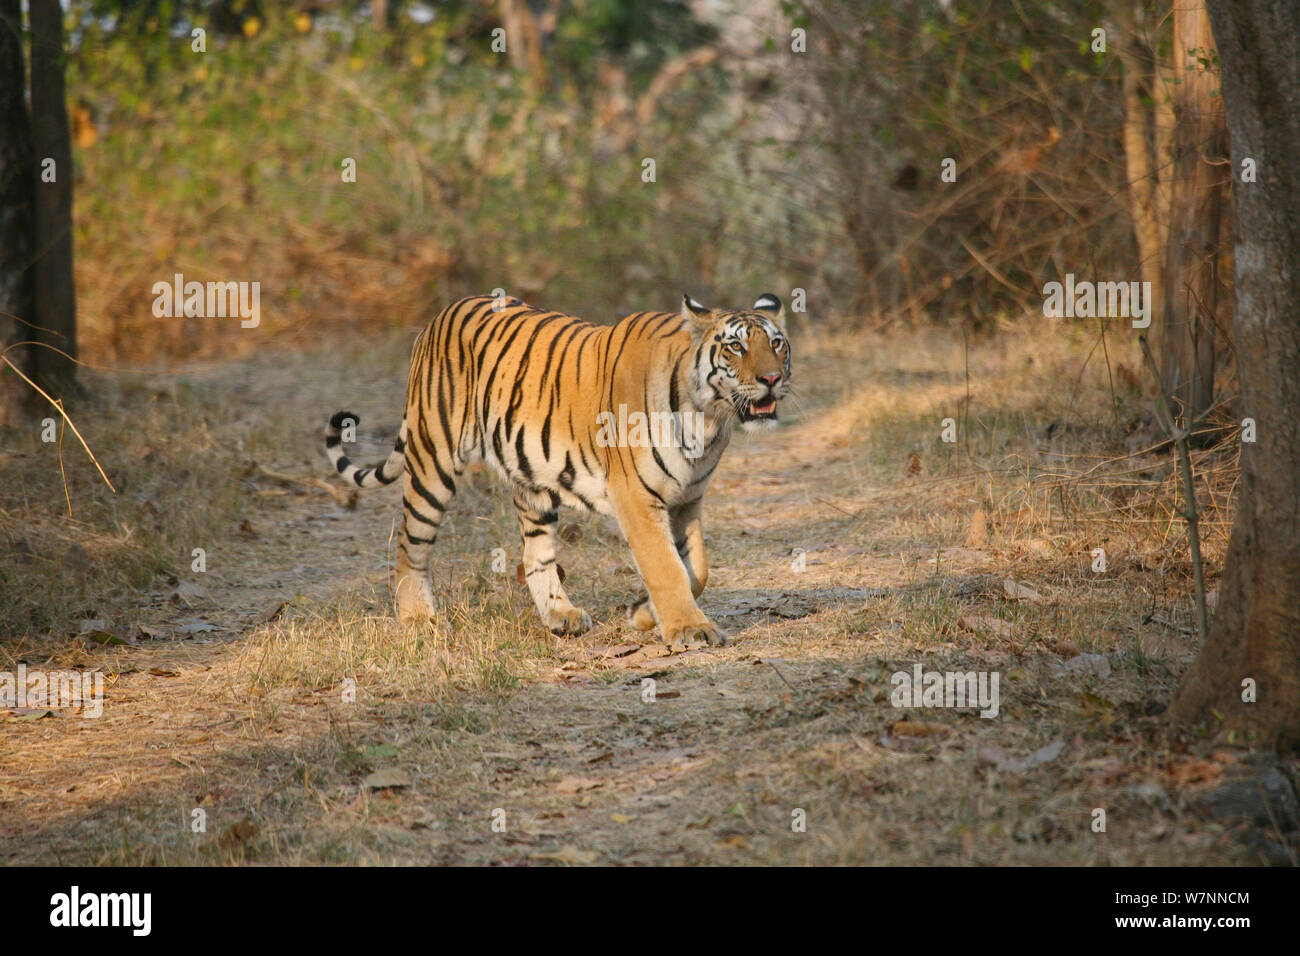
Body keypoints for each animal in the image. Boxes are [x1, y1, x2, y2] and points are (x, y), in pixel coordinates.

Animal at [323, 291, 791, 647]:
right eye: (735, 347)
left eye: (777, 344)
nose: (771, 379)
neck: (707, 419)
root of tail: (437, 318)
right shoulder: (637, 497)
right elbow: (666, 567)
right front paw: (690, 630)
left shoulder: (687, 498)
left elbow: (697, 569)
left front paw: (644, 615)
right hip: (432, 459)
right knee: (410, 542)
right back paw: (418, 619)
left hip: (531, 478)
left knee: (535, 553)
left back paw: (560, 615)